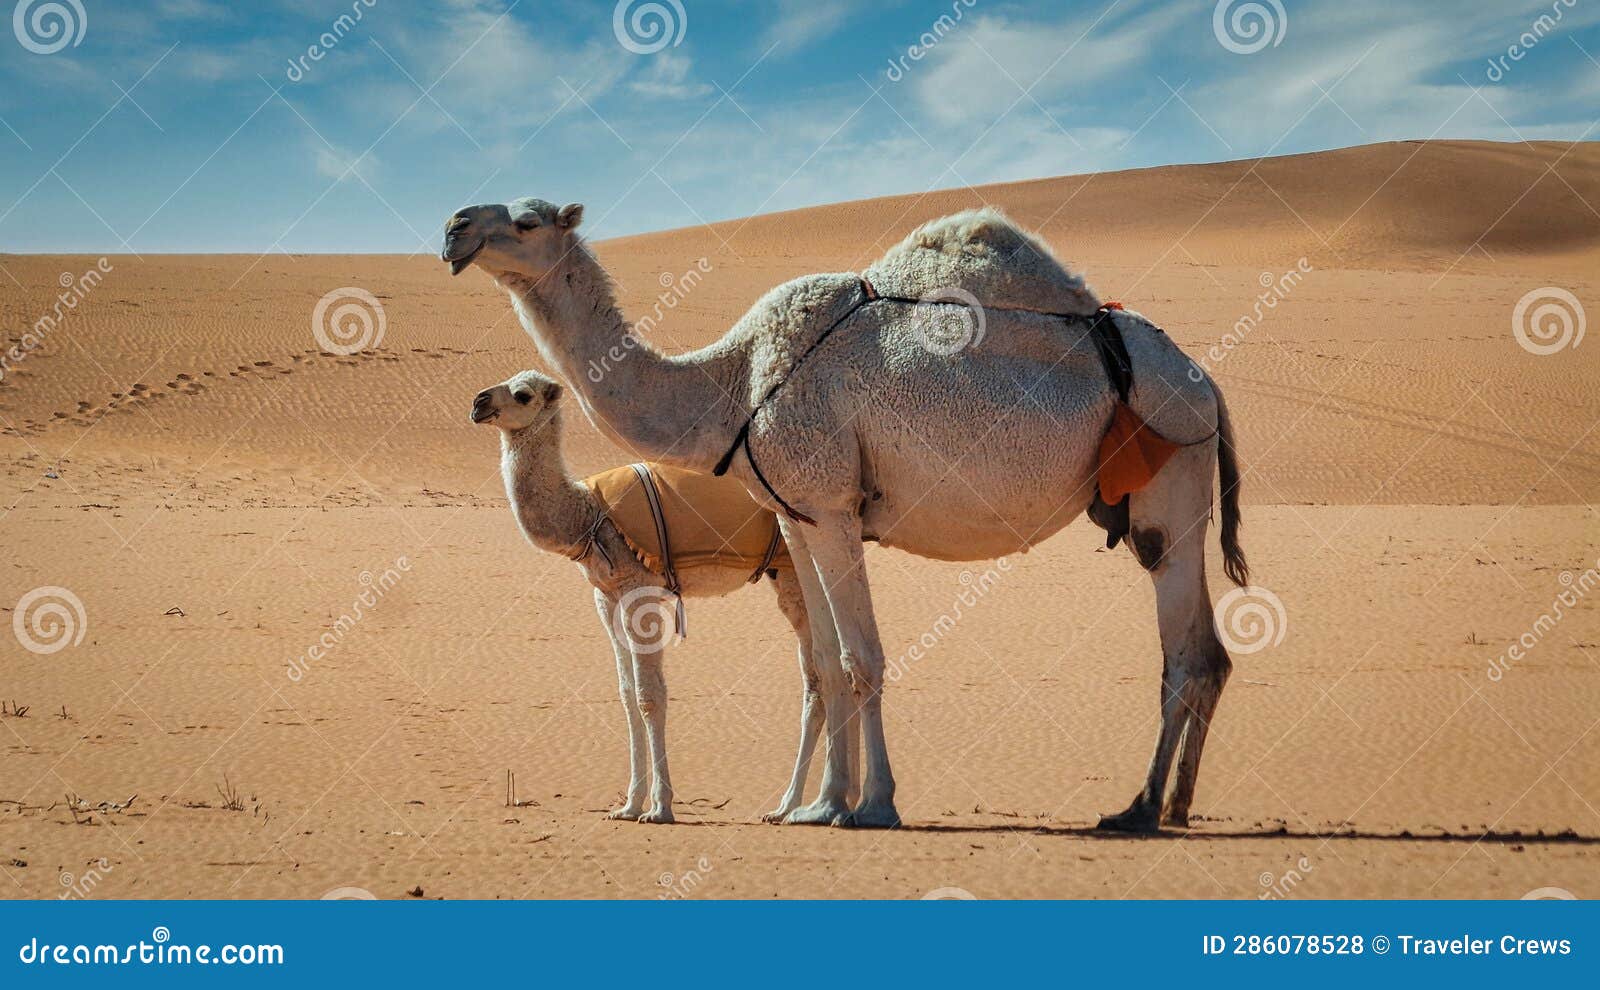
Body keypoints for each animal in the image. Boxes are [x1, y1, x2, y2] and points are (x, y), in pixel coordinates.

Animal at [470, 368, 835, 824]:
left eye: (523, 395)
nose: (479, 403)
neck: (588, 515)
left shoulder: (638, 590)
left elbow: (650, 697)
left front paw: (659, 808)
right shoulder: (607, 597)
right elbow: (627, 695)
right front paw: (628, 805)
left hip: (794, 572)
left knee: (819, 673)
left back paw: (793, 804)